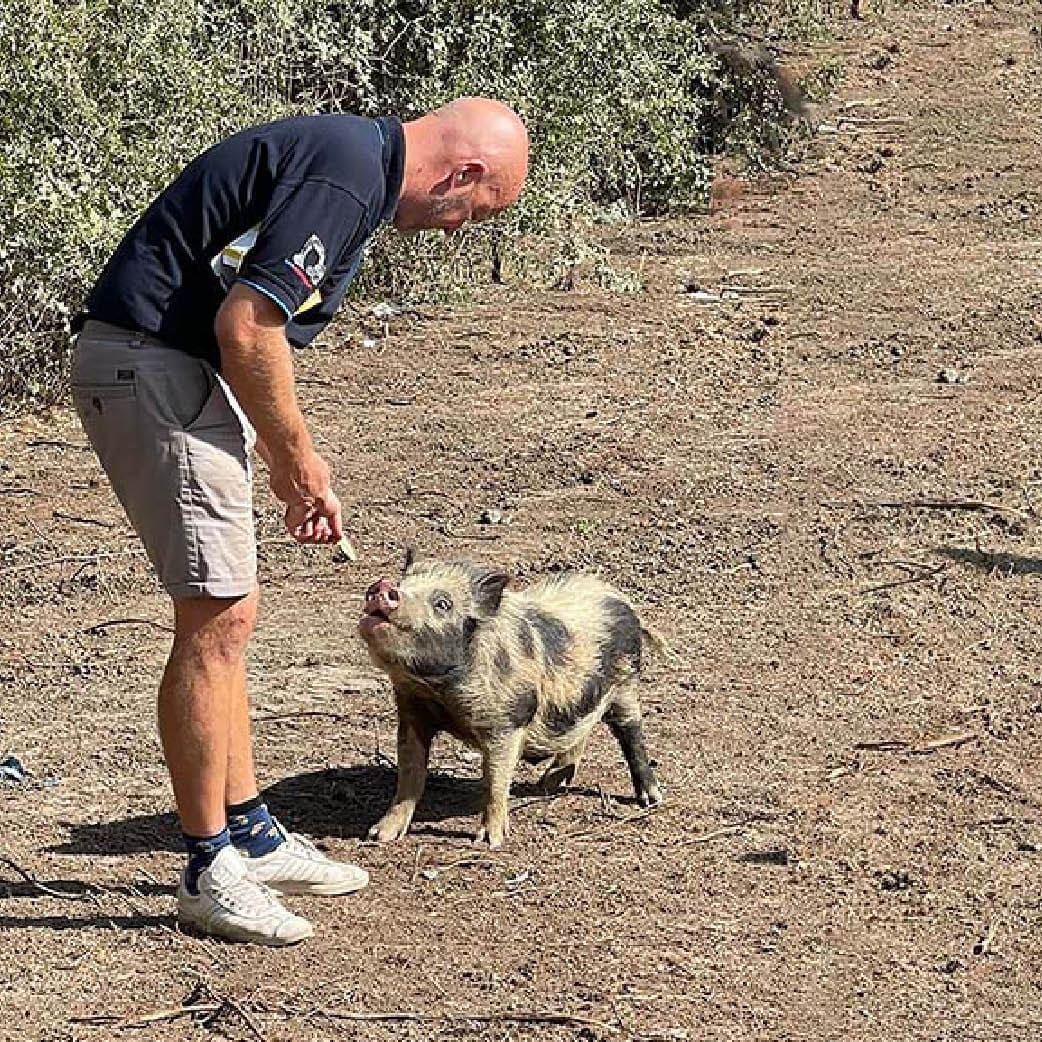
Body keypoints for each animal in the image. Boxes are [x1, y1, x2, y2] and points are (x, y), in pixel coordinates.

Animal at [357, 552, 665, 848]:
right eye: (404, 581)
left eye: (443, 603)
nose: (384, 587)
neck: (440, 691)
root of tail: (620, 598)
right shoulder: (412, 711)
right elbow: (410, 774)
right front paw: (378, 835)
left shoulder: (507, 721)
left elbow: (495, 780)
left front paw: (488, 841)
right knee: (581, 733)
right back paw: (548, 785)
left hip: (626, 684)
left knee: (631, 735)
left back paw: (651, 799)